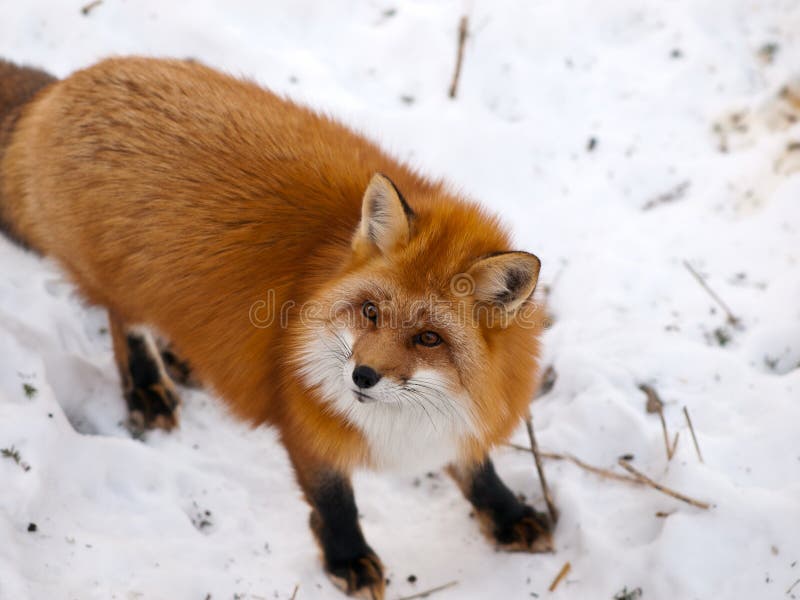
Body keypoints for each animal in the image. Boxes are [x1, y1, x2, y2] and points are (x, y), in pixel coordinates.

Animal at [0, 56, 551, 598]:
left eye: (429, 338)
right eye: (371, 312)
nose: (362, 376)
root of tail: (66, 85)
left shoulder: (468, 415)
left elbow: (478, 471)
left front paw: (509, 515)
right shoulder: (304, 421)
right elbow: (334, 501)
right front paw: (347, 559)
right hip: (123, 281)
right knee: (123, 323)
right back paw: (147, 384)